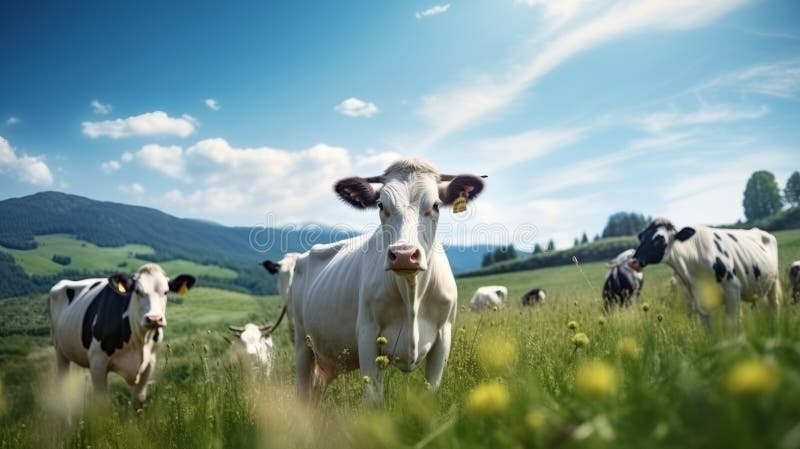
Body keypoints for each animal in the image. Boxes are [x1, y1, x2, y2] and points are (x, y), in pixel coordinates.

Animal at [49, 264, 195, 410]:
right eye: (137, 291)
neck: (139, 341)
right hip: (59, 350)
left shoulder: (149, 363)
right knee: (62, 385)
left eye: (166, 292)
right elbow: (102, 403)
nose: (154, 319)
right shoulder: (97, 363)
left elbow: (138, 401)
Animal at [288, 158, 485, 402]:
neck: (411, 294)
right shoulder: (367, 335)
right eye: (381, 205)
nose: (404, 254)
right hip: (302, 344)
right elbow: (373, 399)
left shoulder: (443, 336)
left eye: (436, 205)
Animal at [630, 218, 780, 329]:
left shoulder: (732, 289)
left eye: (659, 239)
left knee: (775, 306)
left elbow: (732, 325)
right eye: (641, 237)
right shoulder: (697, 302)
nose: (633, 261)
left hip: (774, 282)